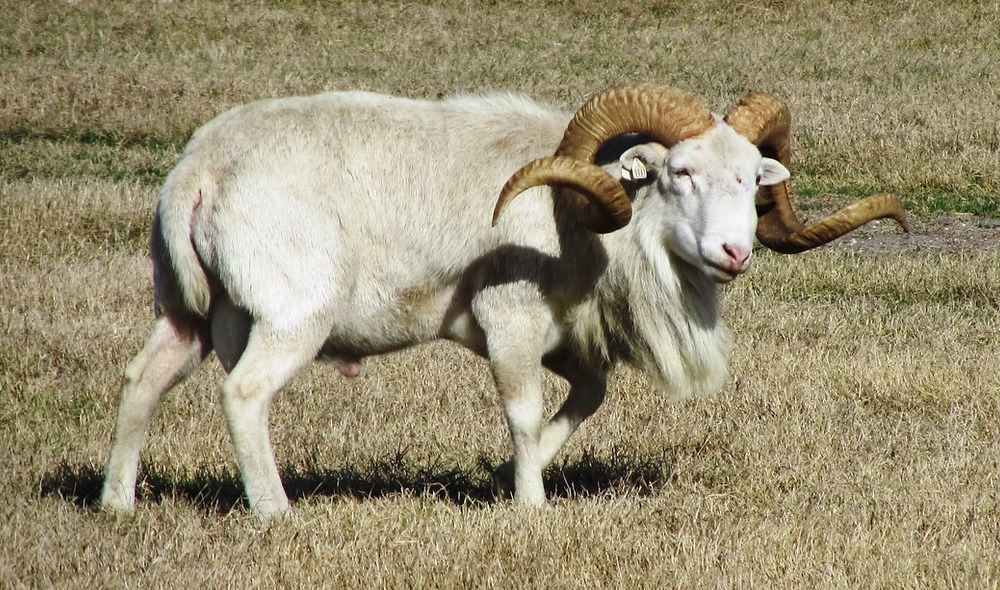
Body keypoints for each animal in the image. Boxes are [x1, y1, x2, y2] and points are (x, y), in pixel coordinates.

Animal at [100, 84, 908, 517]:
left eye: (751, 176)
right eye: (677, 172)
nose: (734, 253)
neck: (586, 227)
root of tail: (201, 168)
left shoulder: (562, 341)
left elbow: (585, 401)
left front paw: (507, 481)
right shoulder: (508, 325)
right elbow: (523, 413)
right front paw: (530, 505)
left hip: (190, 313)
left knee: (142, 382)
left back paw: (118, 504)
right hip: (291, 319)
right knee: (243, 395)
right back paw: (276, 514)